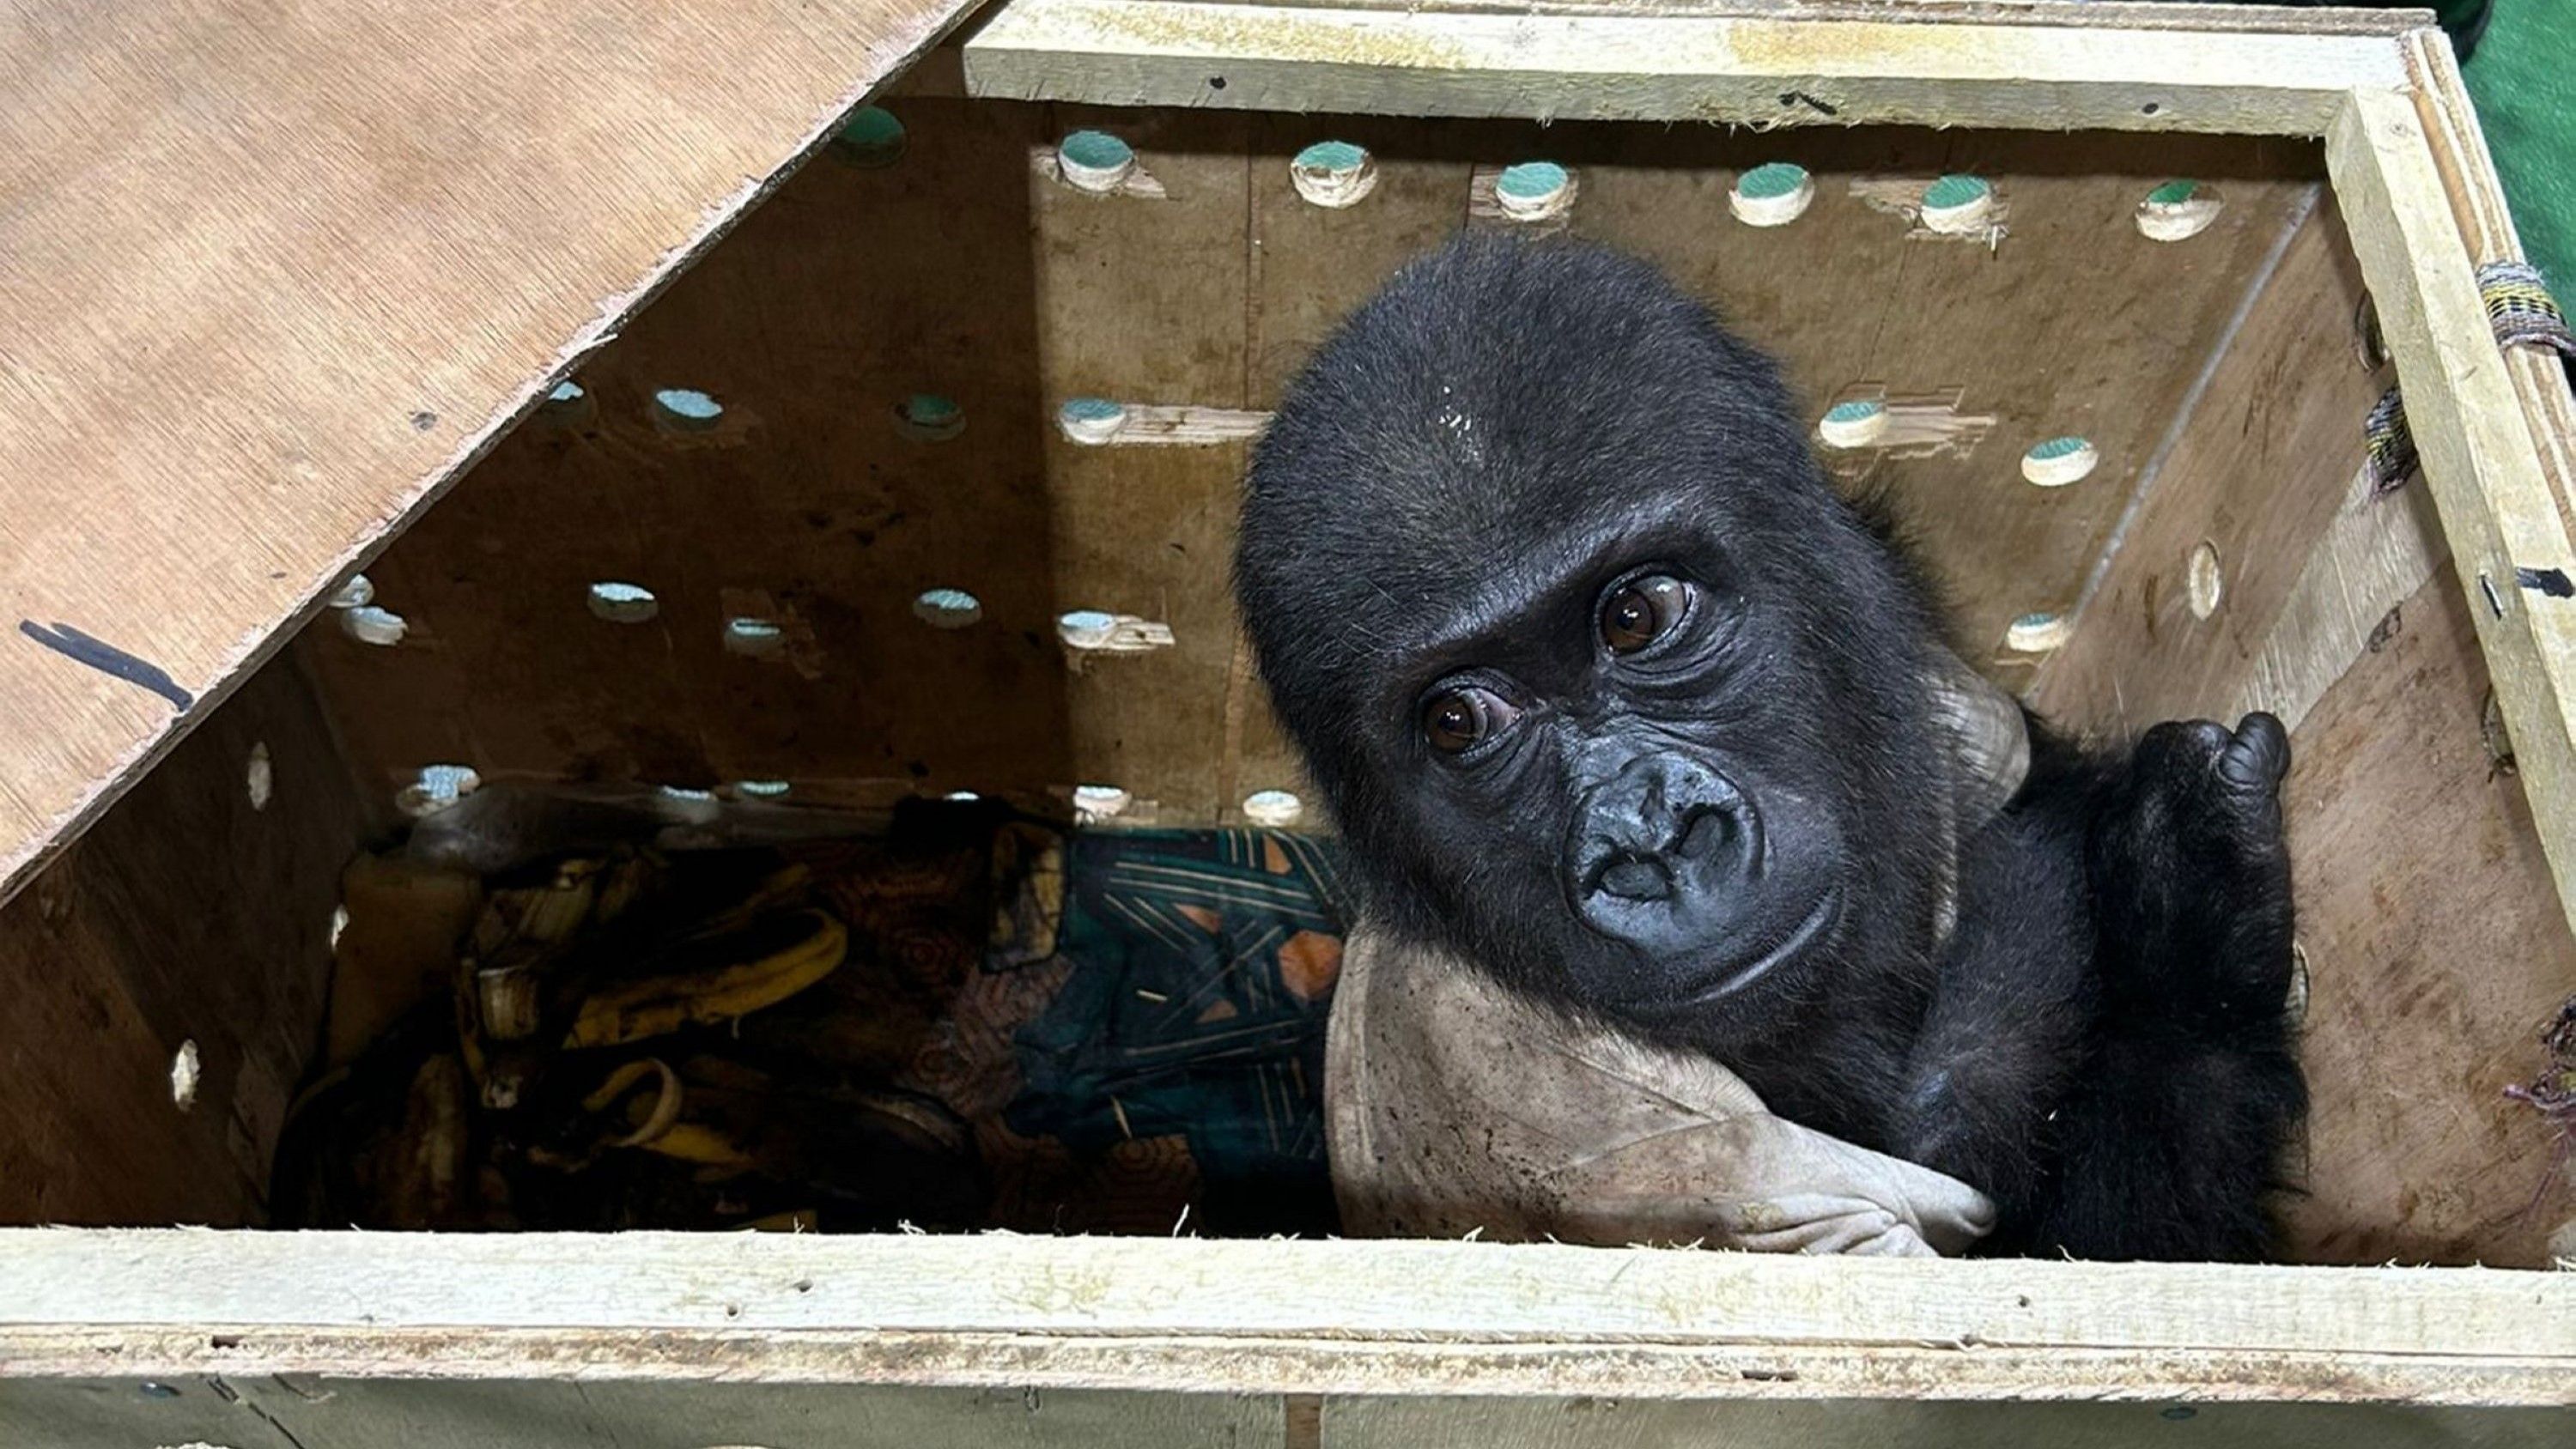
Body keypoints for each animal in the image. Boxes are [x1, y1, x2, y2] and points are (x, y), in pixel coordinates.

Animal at [1234, 234, 2305, 1260]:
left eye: (1635, 615)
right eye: (1459, 721)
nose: (1652, 839)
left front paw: (2178, 889)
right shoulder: (1645, 1142)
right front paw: (2189, 936)